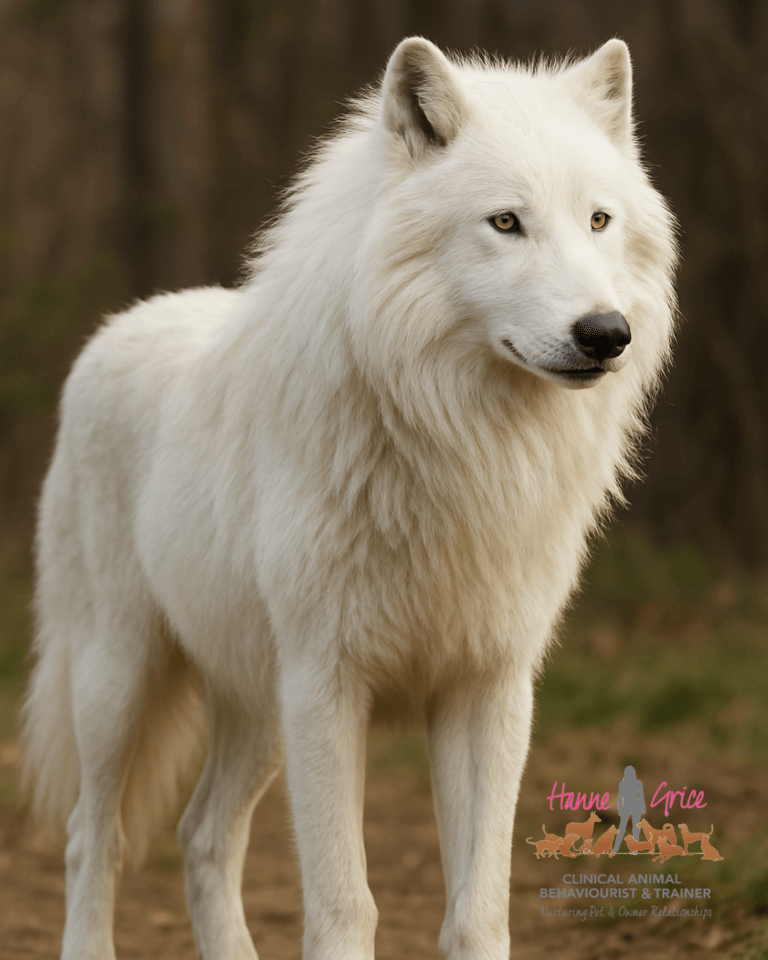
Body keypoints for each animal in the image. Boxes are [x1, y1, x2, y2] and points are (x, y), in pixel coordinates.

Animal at [21, 36, 677, 960]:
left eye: (598, 221)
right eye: (505, 222)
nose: (606, 333)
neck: (458, 445)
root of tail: (117, 326)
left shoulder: (488, 690)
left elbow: (479, 910)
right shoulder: (327, 689)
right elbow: (343, 904)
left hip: (259, 710)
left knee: (201, 835)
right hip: (122, 680)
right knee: (93, 835)